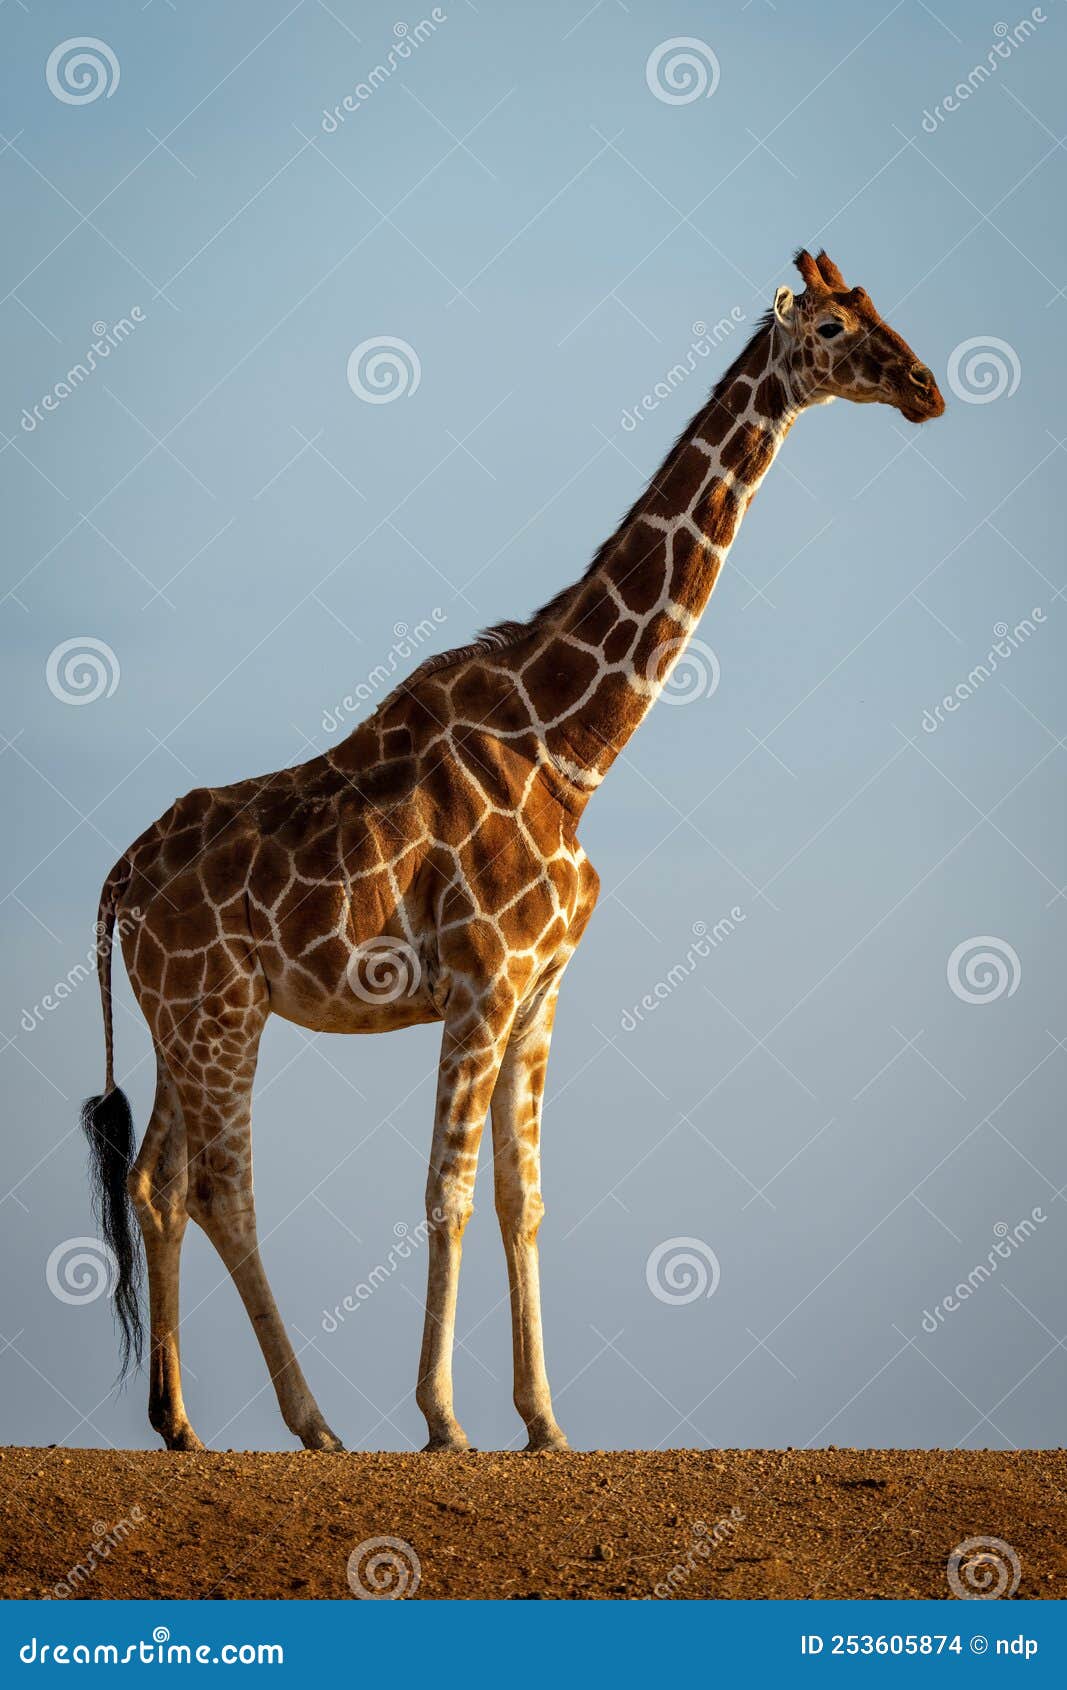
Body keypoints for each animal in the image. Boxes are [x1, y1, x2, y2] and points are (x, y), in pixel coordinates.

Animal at [82, 250, 944, 1454]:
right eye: (829, 326)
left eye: (875, 310)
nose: (924, 387)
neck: (569, 745)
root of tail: (118, 879)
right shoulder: (481, 985)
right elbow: (443, 1193)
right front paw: (443, 1419)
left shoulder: (540, 992)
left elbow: (517, 1199)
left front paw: (543, 1421)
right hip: (220, 1012)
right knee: (217, 1188)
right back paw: (313, 1423)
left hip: (182, 1015)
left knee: (157, 1183)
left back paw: (181, 1422)